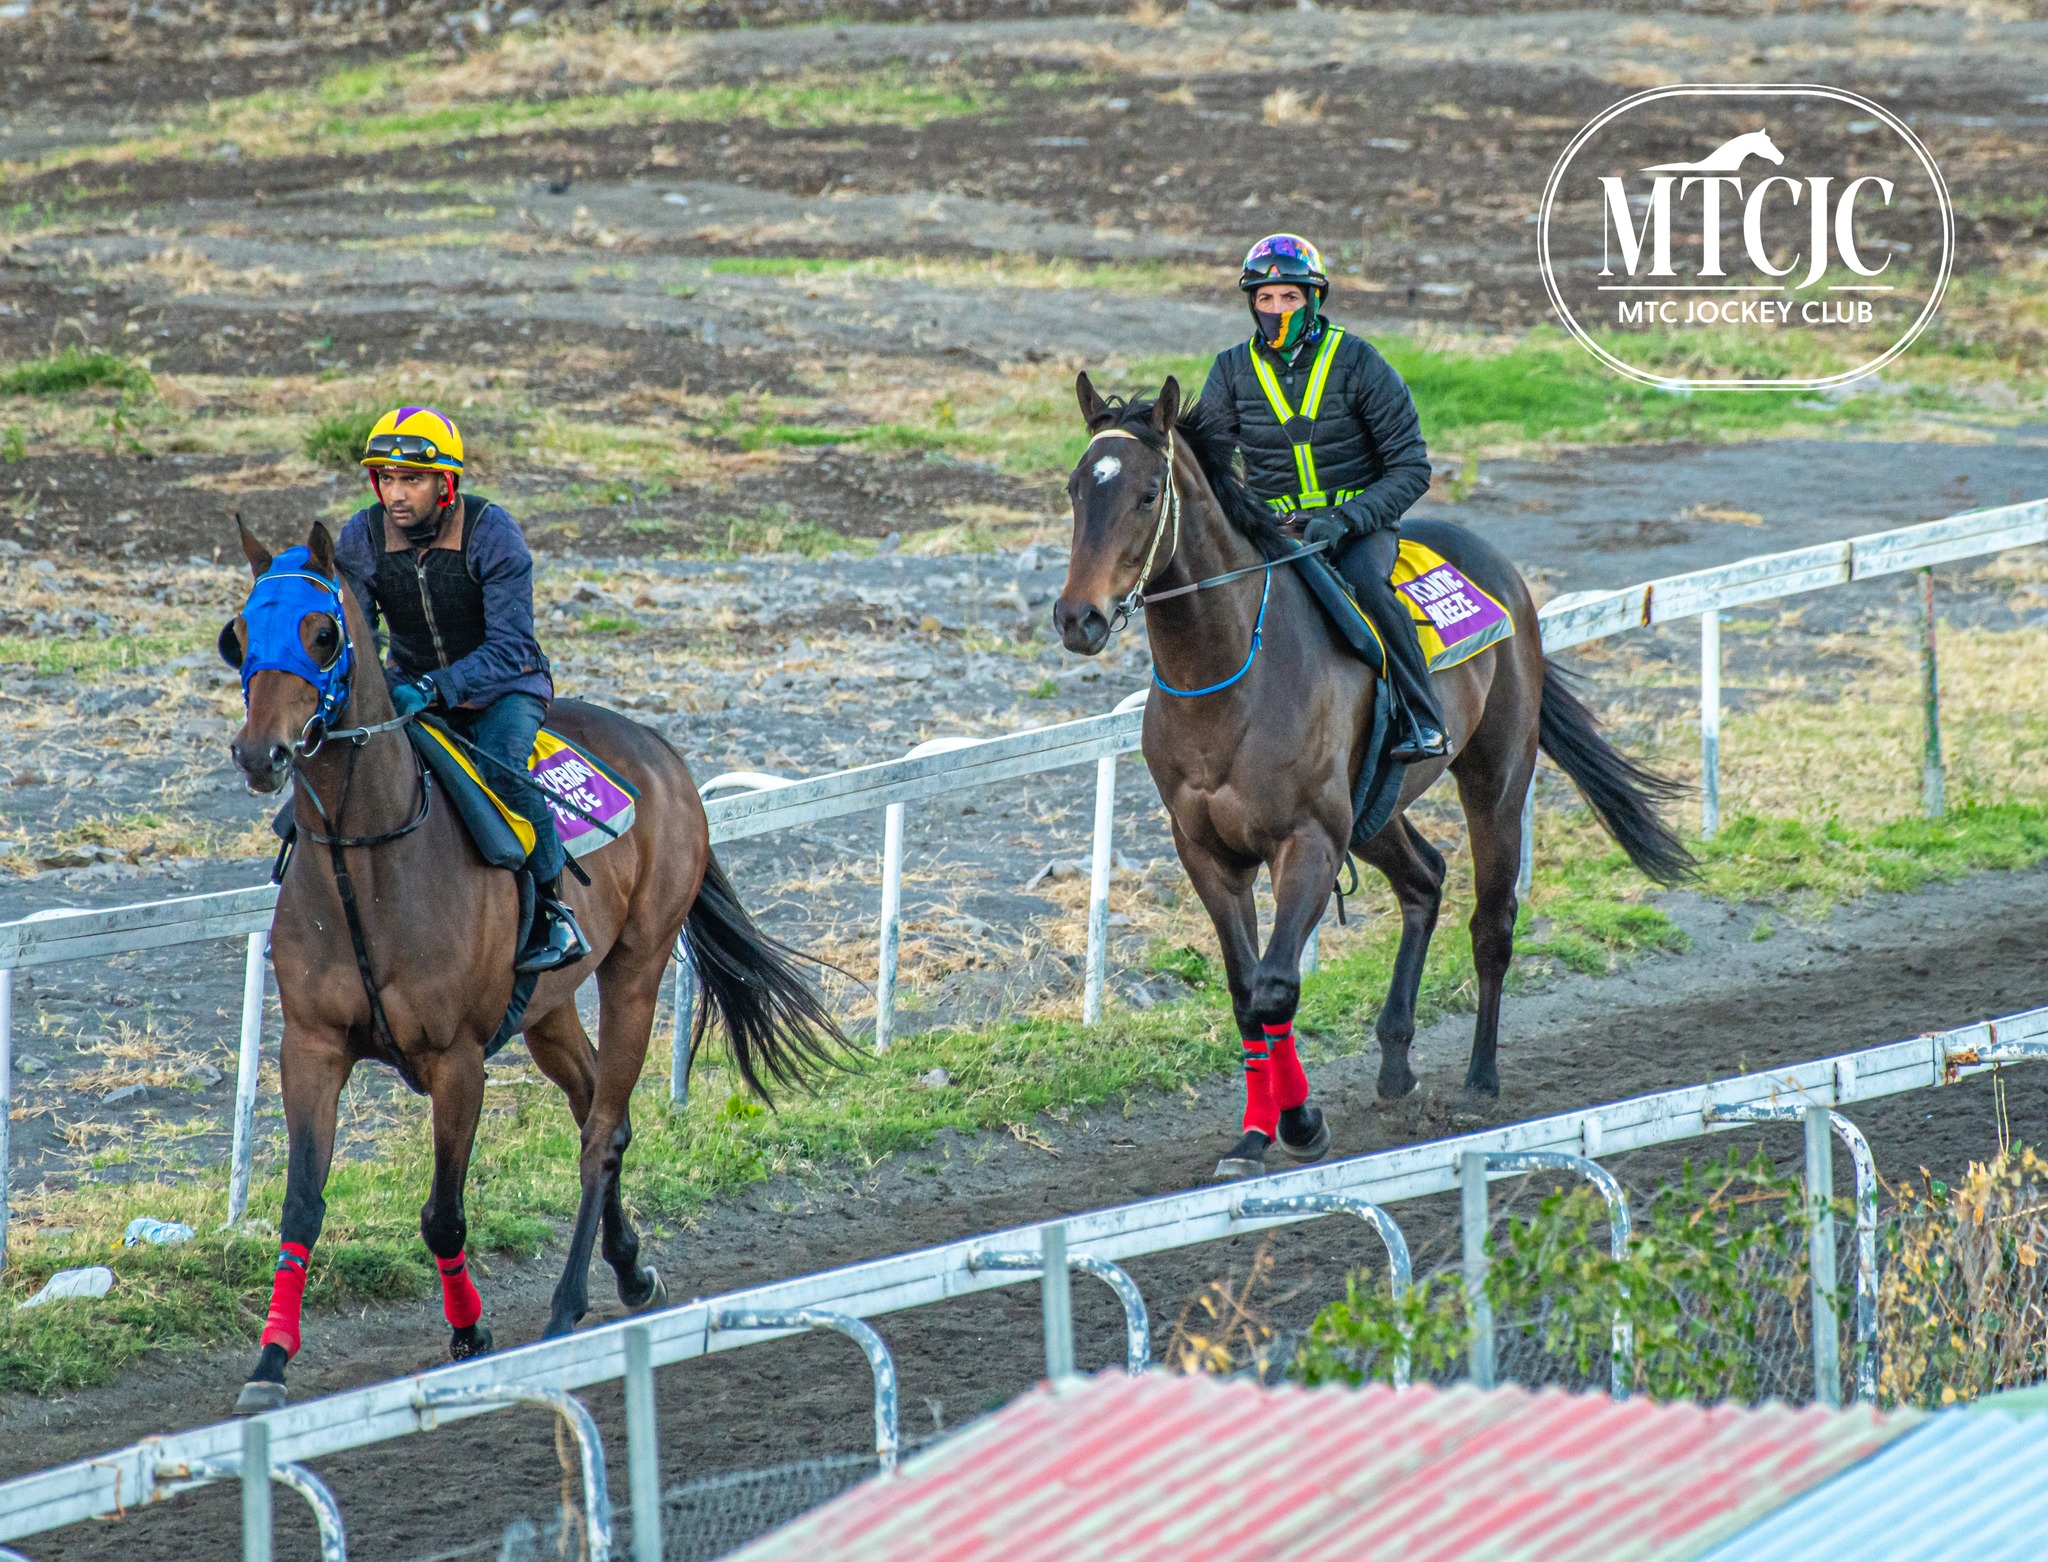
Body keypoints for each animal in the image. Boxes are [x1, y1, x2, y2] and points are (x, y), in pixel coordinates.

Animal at [221, 520, 845, 1412]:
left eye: (323, 633)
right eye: (238, 635)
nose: (258, 754)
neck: (364, 859)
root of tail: (661, 750)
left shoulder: (456, 1061)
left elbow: (443, 1212)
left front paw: (470, 1331)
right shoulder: (310, 1048)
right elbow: (302, 1205)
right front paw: (270, 1364)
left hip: (637, 967)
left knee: (601, 1132)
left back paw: (567, 1303)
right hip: (547, 1011)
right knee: (597, 1108)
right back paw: (630, 1269)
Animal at [1053, 376, 1693, 1177]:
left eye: (1146, 494)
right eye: (1076, 488)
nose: (1078, 617)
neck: (1227, 680)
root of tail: (1504, 574)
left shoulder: (1309, 842)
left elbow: (1274, 987)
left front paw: (1301, 1123)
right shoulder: (1206, 853)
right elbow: (1243, 992)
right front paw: (1253, 1135)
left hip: (1494, 776)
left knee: (1492, 922)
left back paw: (1480, 1082)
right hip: (1375, 810)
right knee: (1424, 879)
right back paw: (1395, 1061)